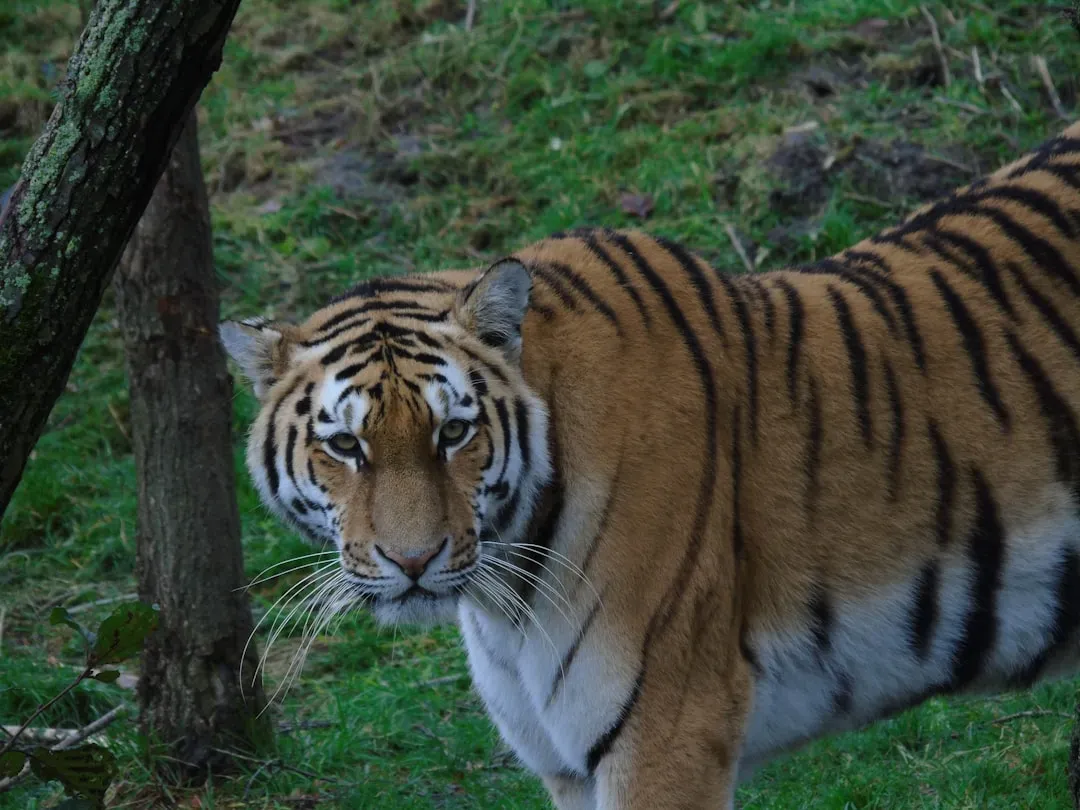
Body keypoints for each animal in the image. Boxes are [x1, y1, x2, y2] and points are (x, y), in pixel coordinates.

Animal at [220, 119, 1080, 809]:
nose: (413, 561)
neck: (506, 596)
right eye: (346, 446)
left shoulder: (668, 730)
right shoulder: (566, 765)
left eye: (454, 433)